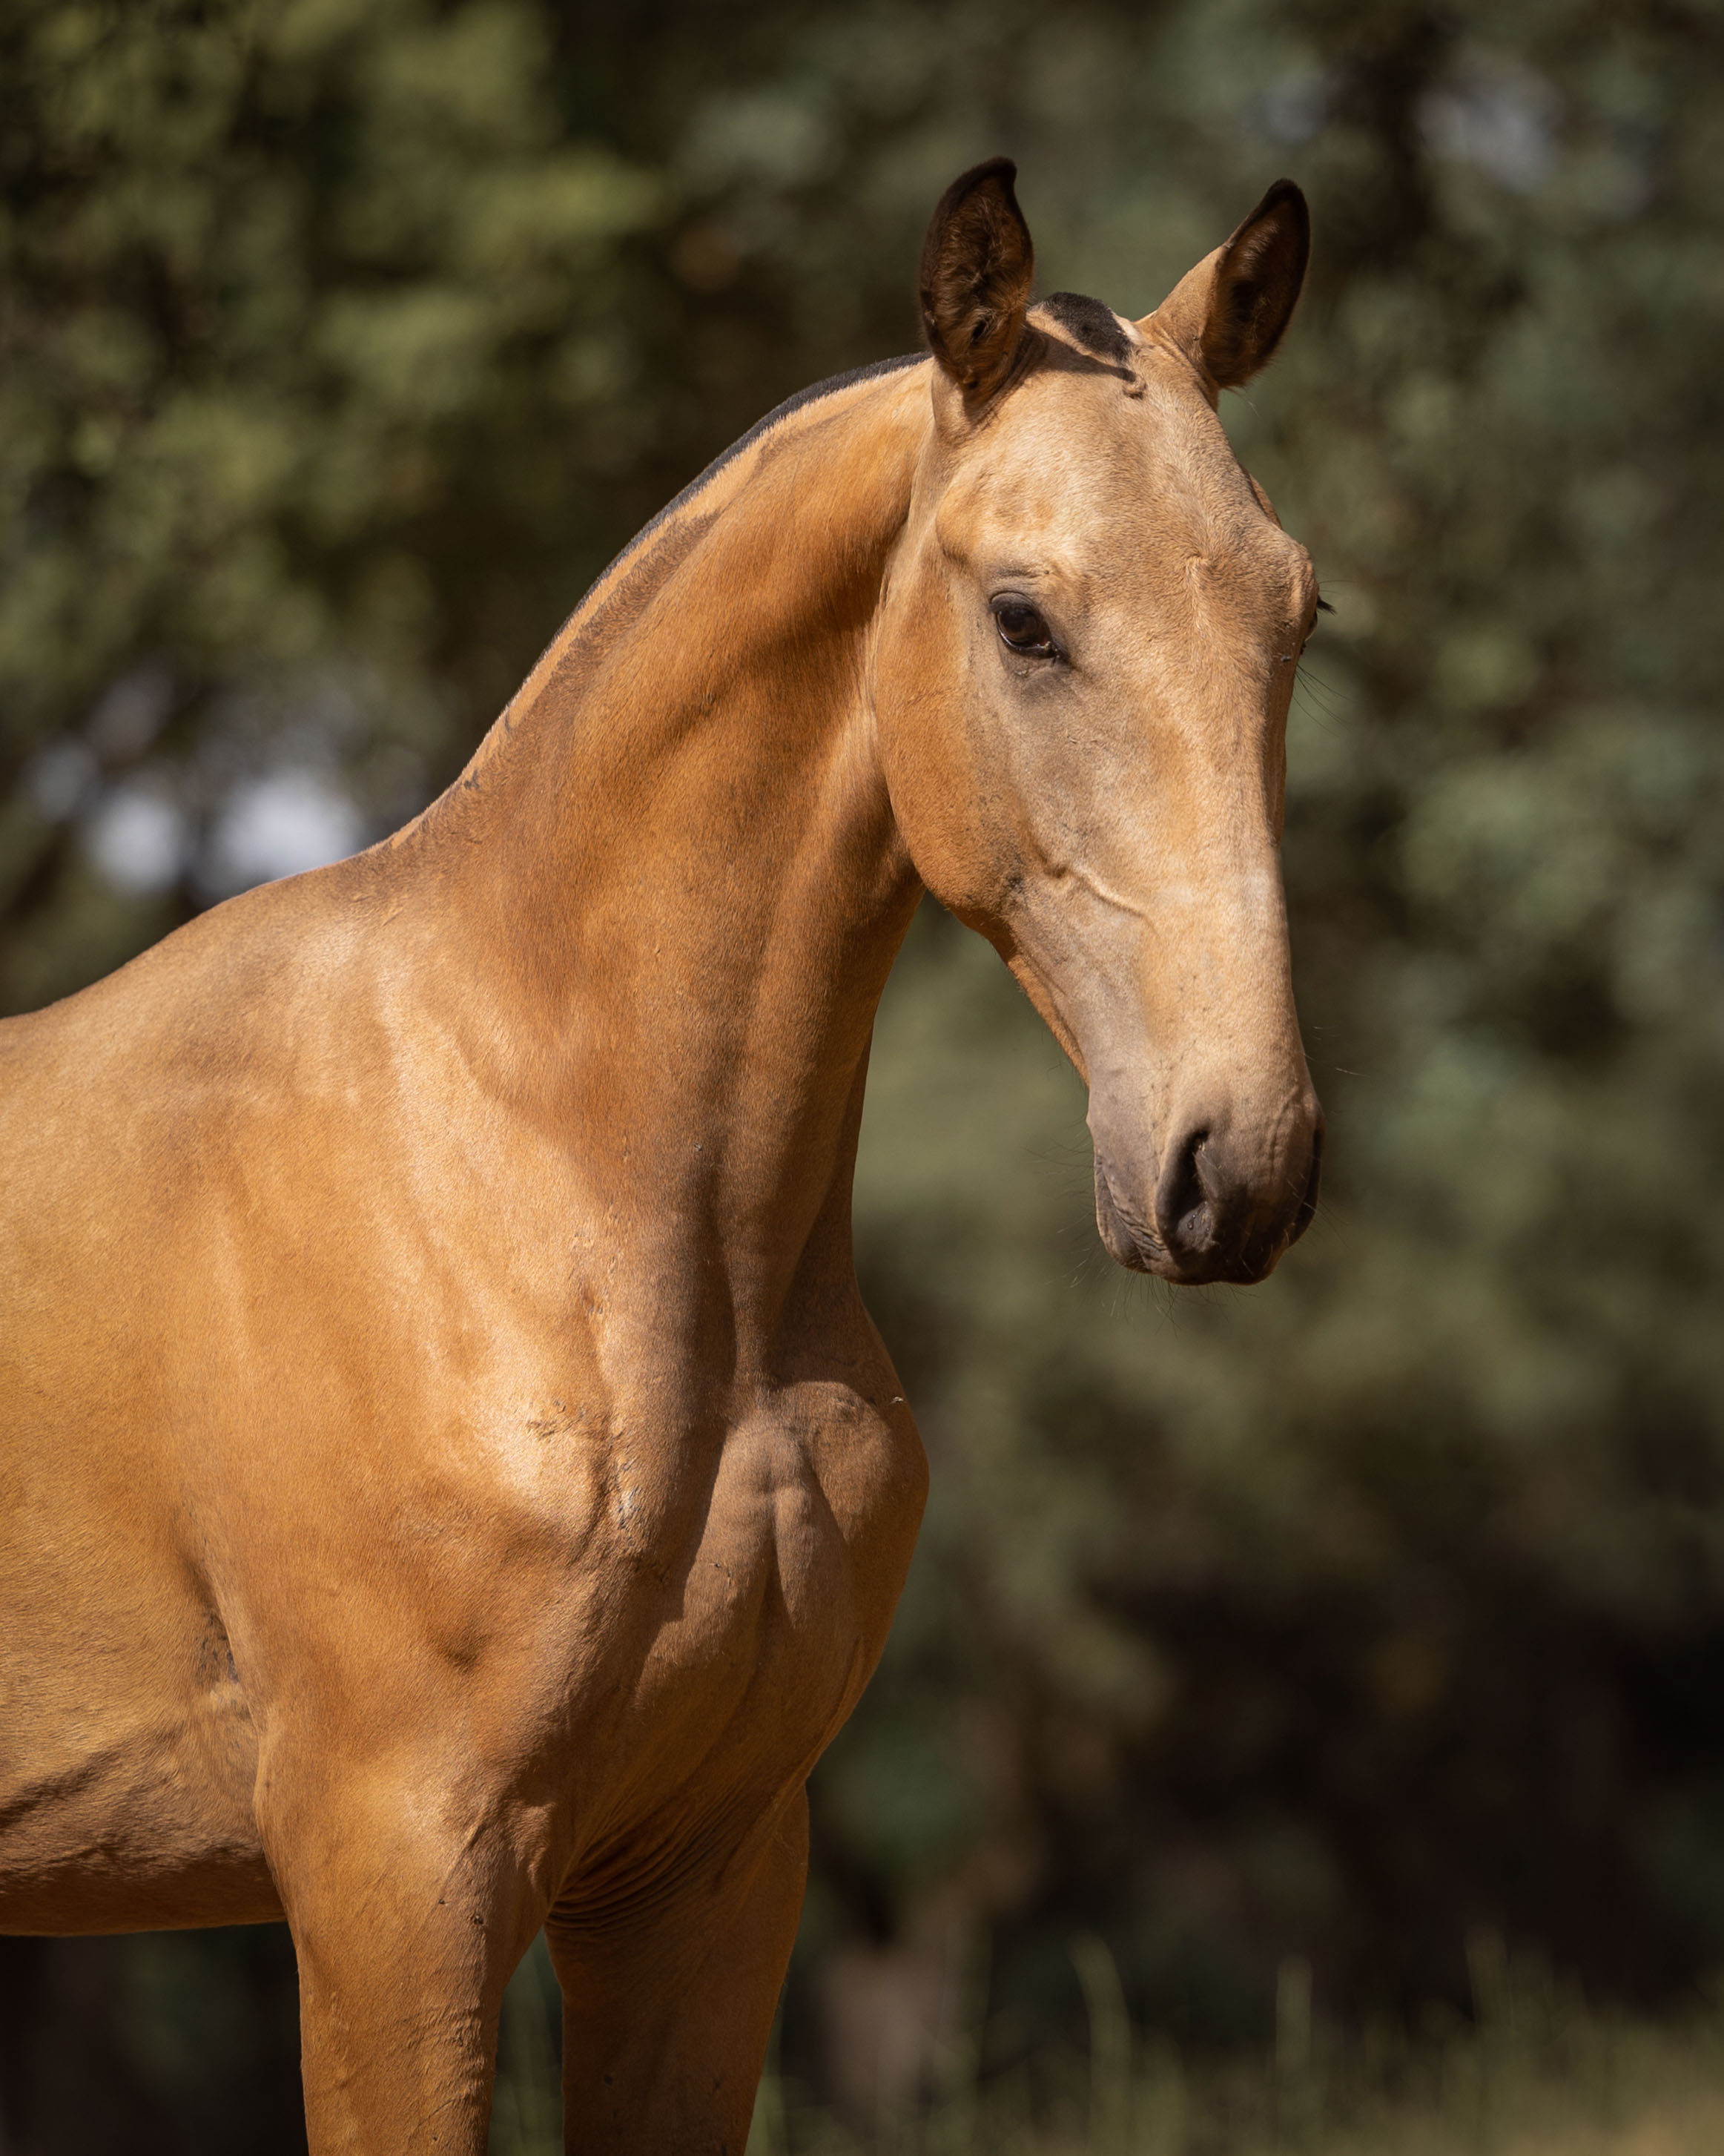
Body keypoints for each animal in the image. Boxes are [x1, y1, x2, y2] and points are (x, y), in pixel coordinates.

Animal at [0, 160, 1323, 2151]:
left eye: (1296, 612)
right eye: (1024, 618)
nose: (1237, 1164)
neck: (531, 1176)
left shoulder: (706, 1873)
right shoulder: (398, 1872)